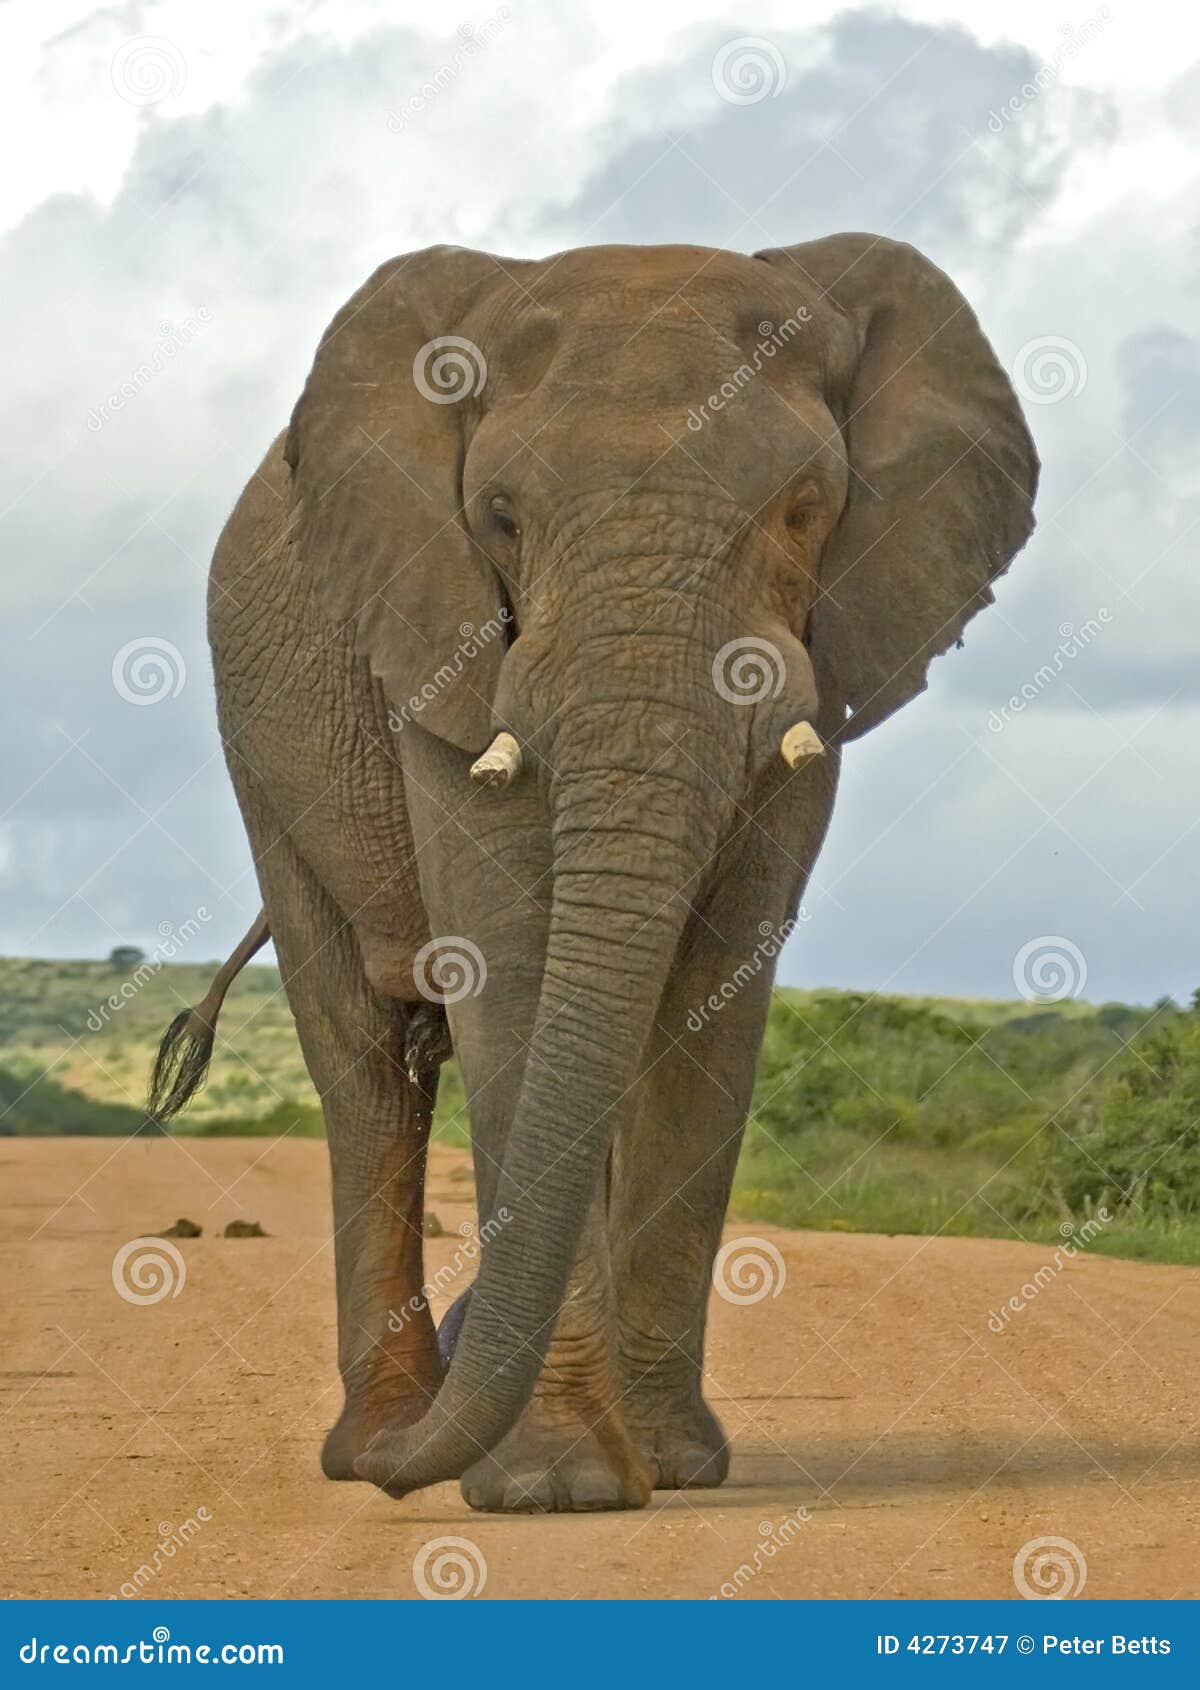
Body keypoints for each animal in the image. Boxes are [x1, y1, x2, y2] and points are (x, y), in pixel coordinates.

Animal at [149, 236, 1037, 1513]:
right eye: (500, 519)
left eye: (804, 512)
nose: (409, 1471)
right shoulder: (445, 645)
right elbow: (513, 969)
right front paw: (556, 1488)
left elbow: (713, 997)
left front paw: (666, 1468)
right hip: (262, 751)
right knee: (362, 1060)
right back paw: (377, 1441)